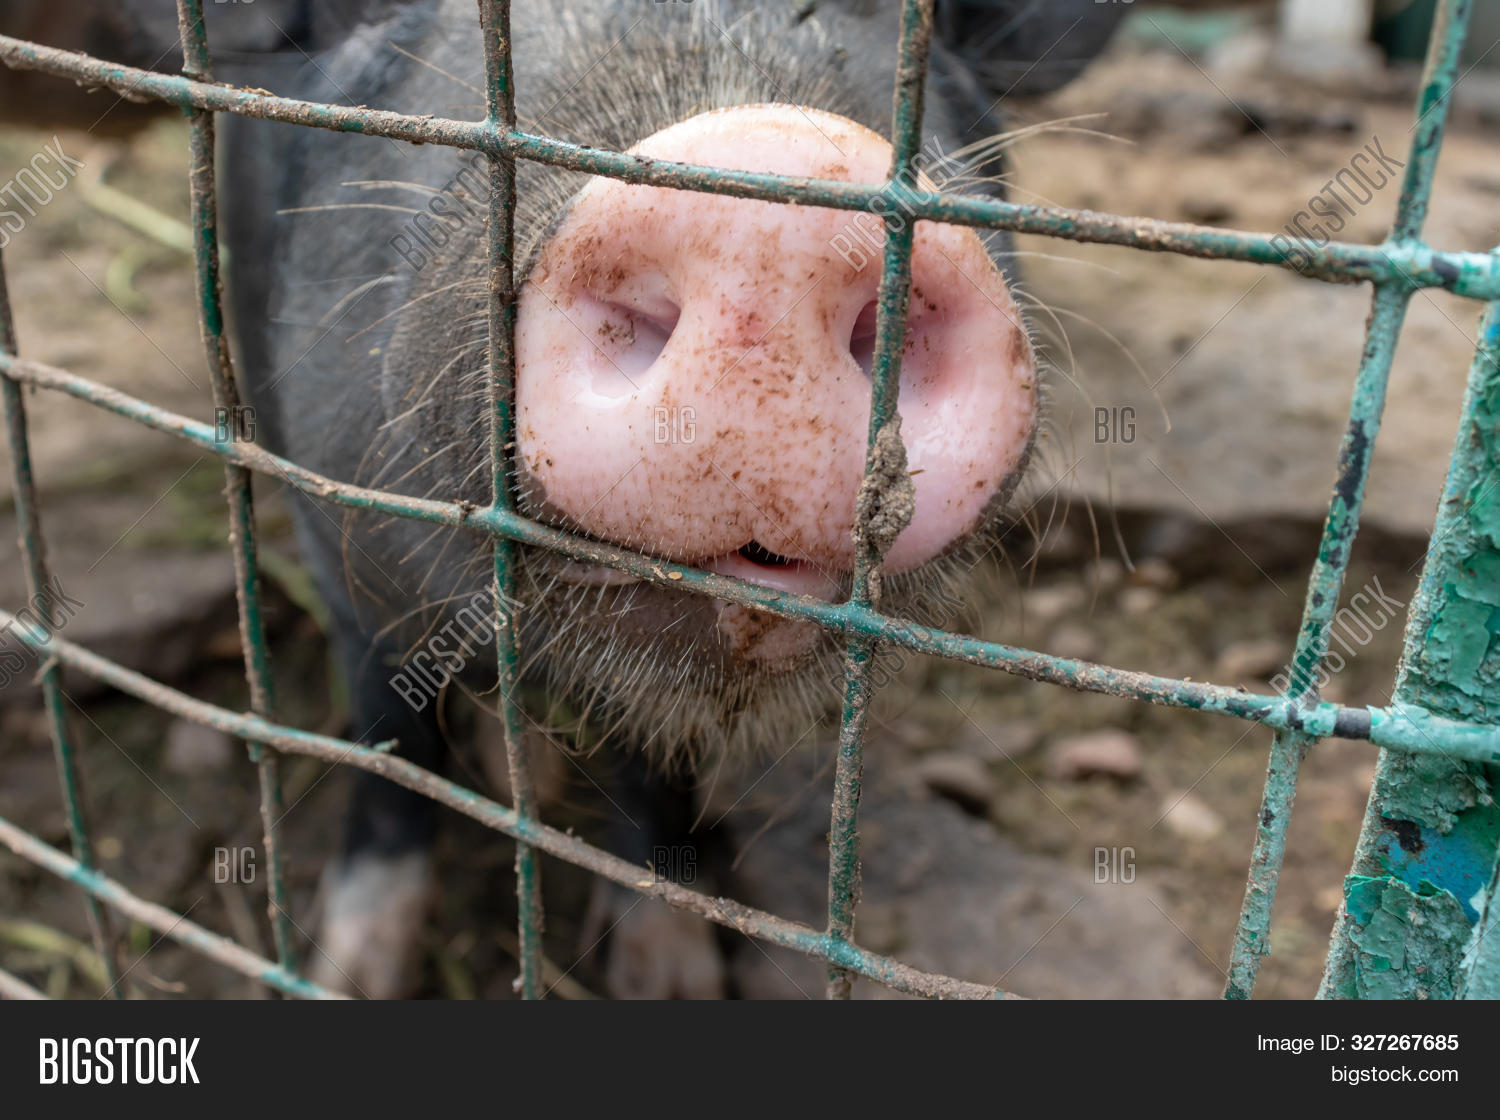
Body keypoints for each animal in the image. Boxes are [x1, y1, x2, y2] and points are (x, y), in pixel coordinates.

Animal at [1, 0, 1123, 997]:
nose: (770, 185)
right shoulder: (326, 529)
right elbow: (386, 724)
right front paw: (348, 976)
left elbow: (651, 762)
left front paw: (668, 981)